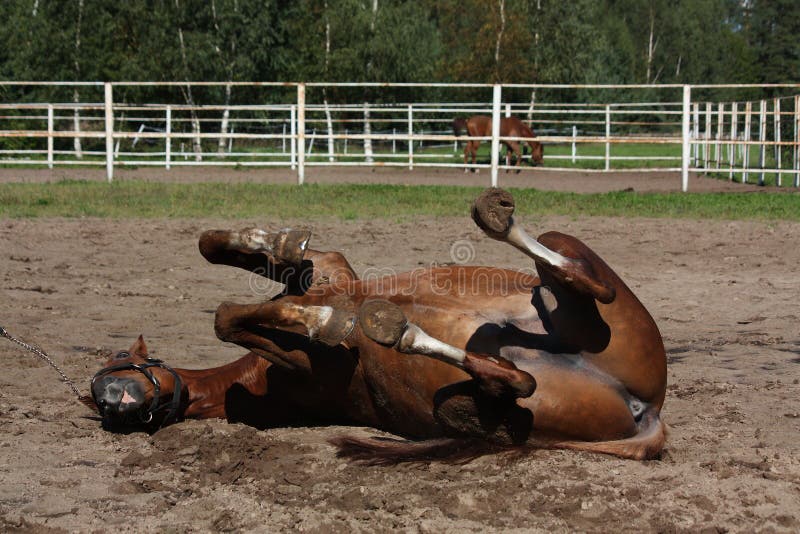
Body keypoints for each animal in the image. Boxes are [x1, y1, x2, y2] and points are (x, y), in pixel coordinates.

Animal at [91, 188, 667, 462]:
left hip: (567, 263)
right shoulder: (308, 365)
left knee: (580, 280)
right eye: (94, 394)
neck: (246, 380)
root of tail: (650, 410)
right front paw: (328, 318)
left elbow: (217, 256)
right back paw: (394, 328)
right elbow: (231, 317)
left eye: (118, 358)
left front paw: (277, 245)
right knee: (514, 377)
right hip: (473, 409)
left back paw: (494, 217)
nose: (110, 397)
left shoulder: (331, 272)